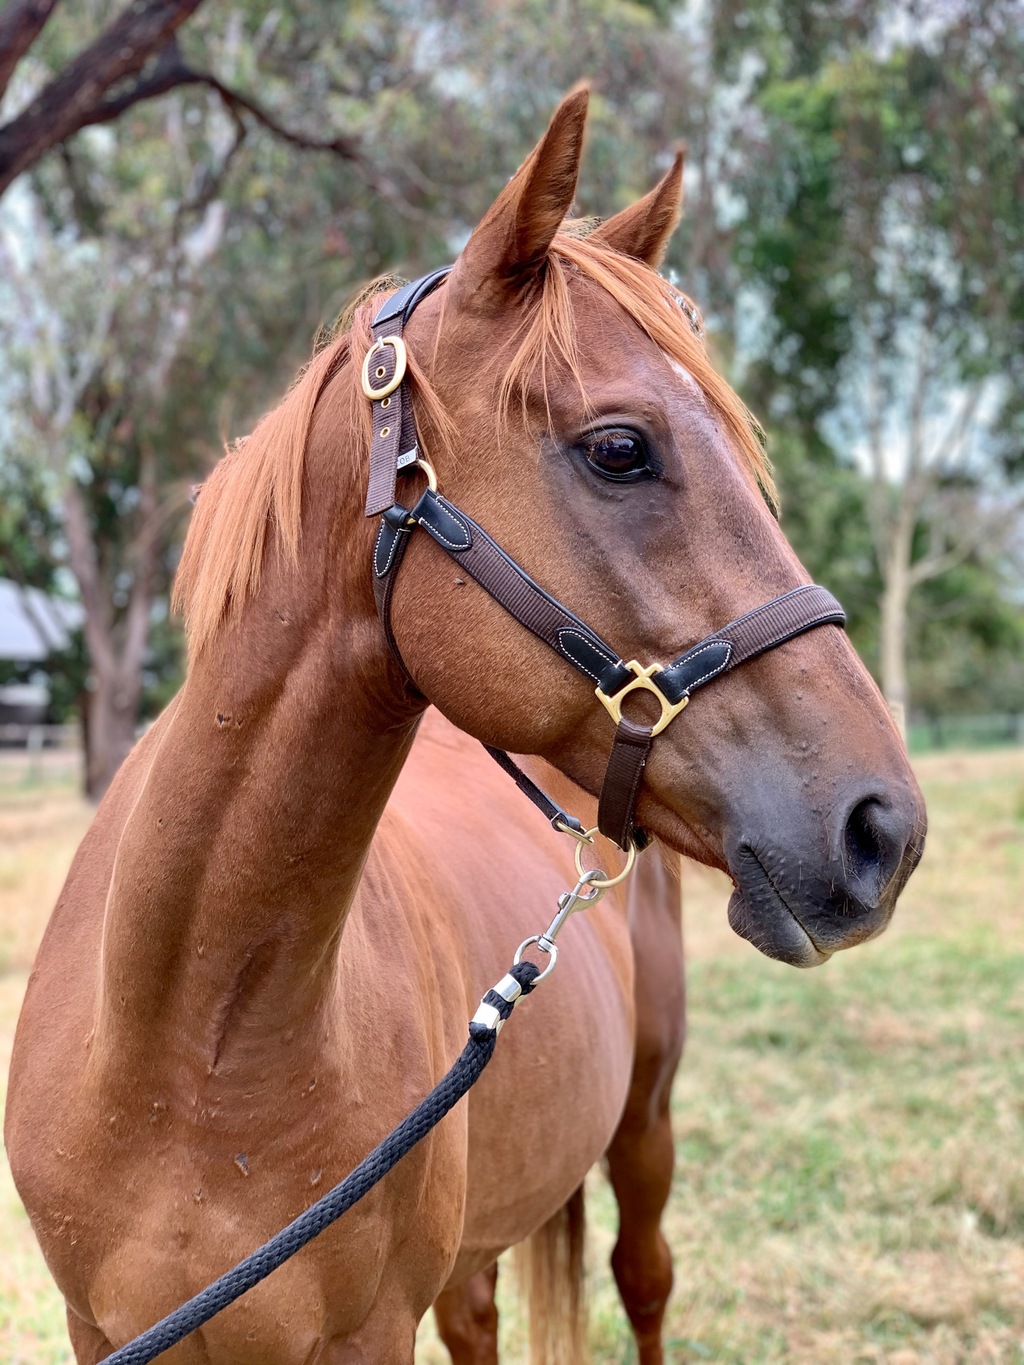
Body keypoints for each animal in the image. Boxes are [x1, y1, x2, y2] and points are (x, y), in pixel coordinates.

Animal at [6, 88, 925, 1364]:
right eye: (620, 448)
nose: (882, 827)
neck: (184, 1055)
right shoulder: (101, 1330)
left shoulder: (367, 1334)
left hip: (645, 1125)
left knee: (643, 1282)